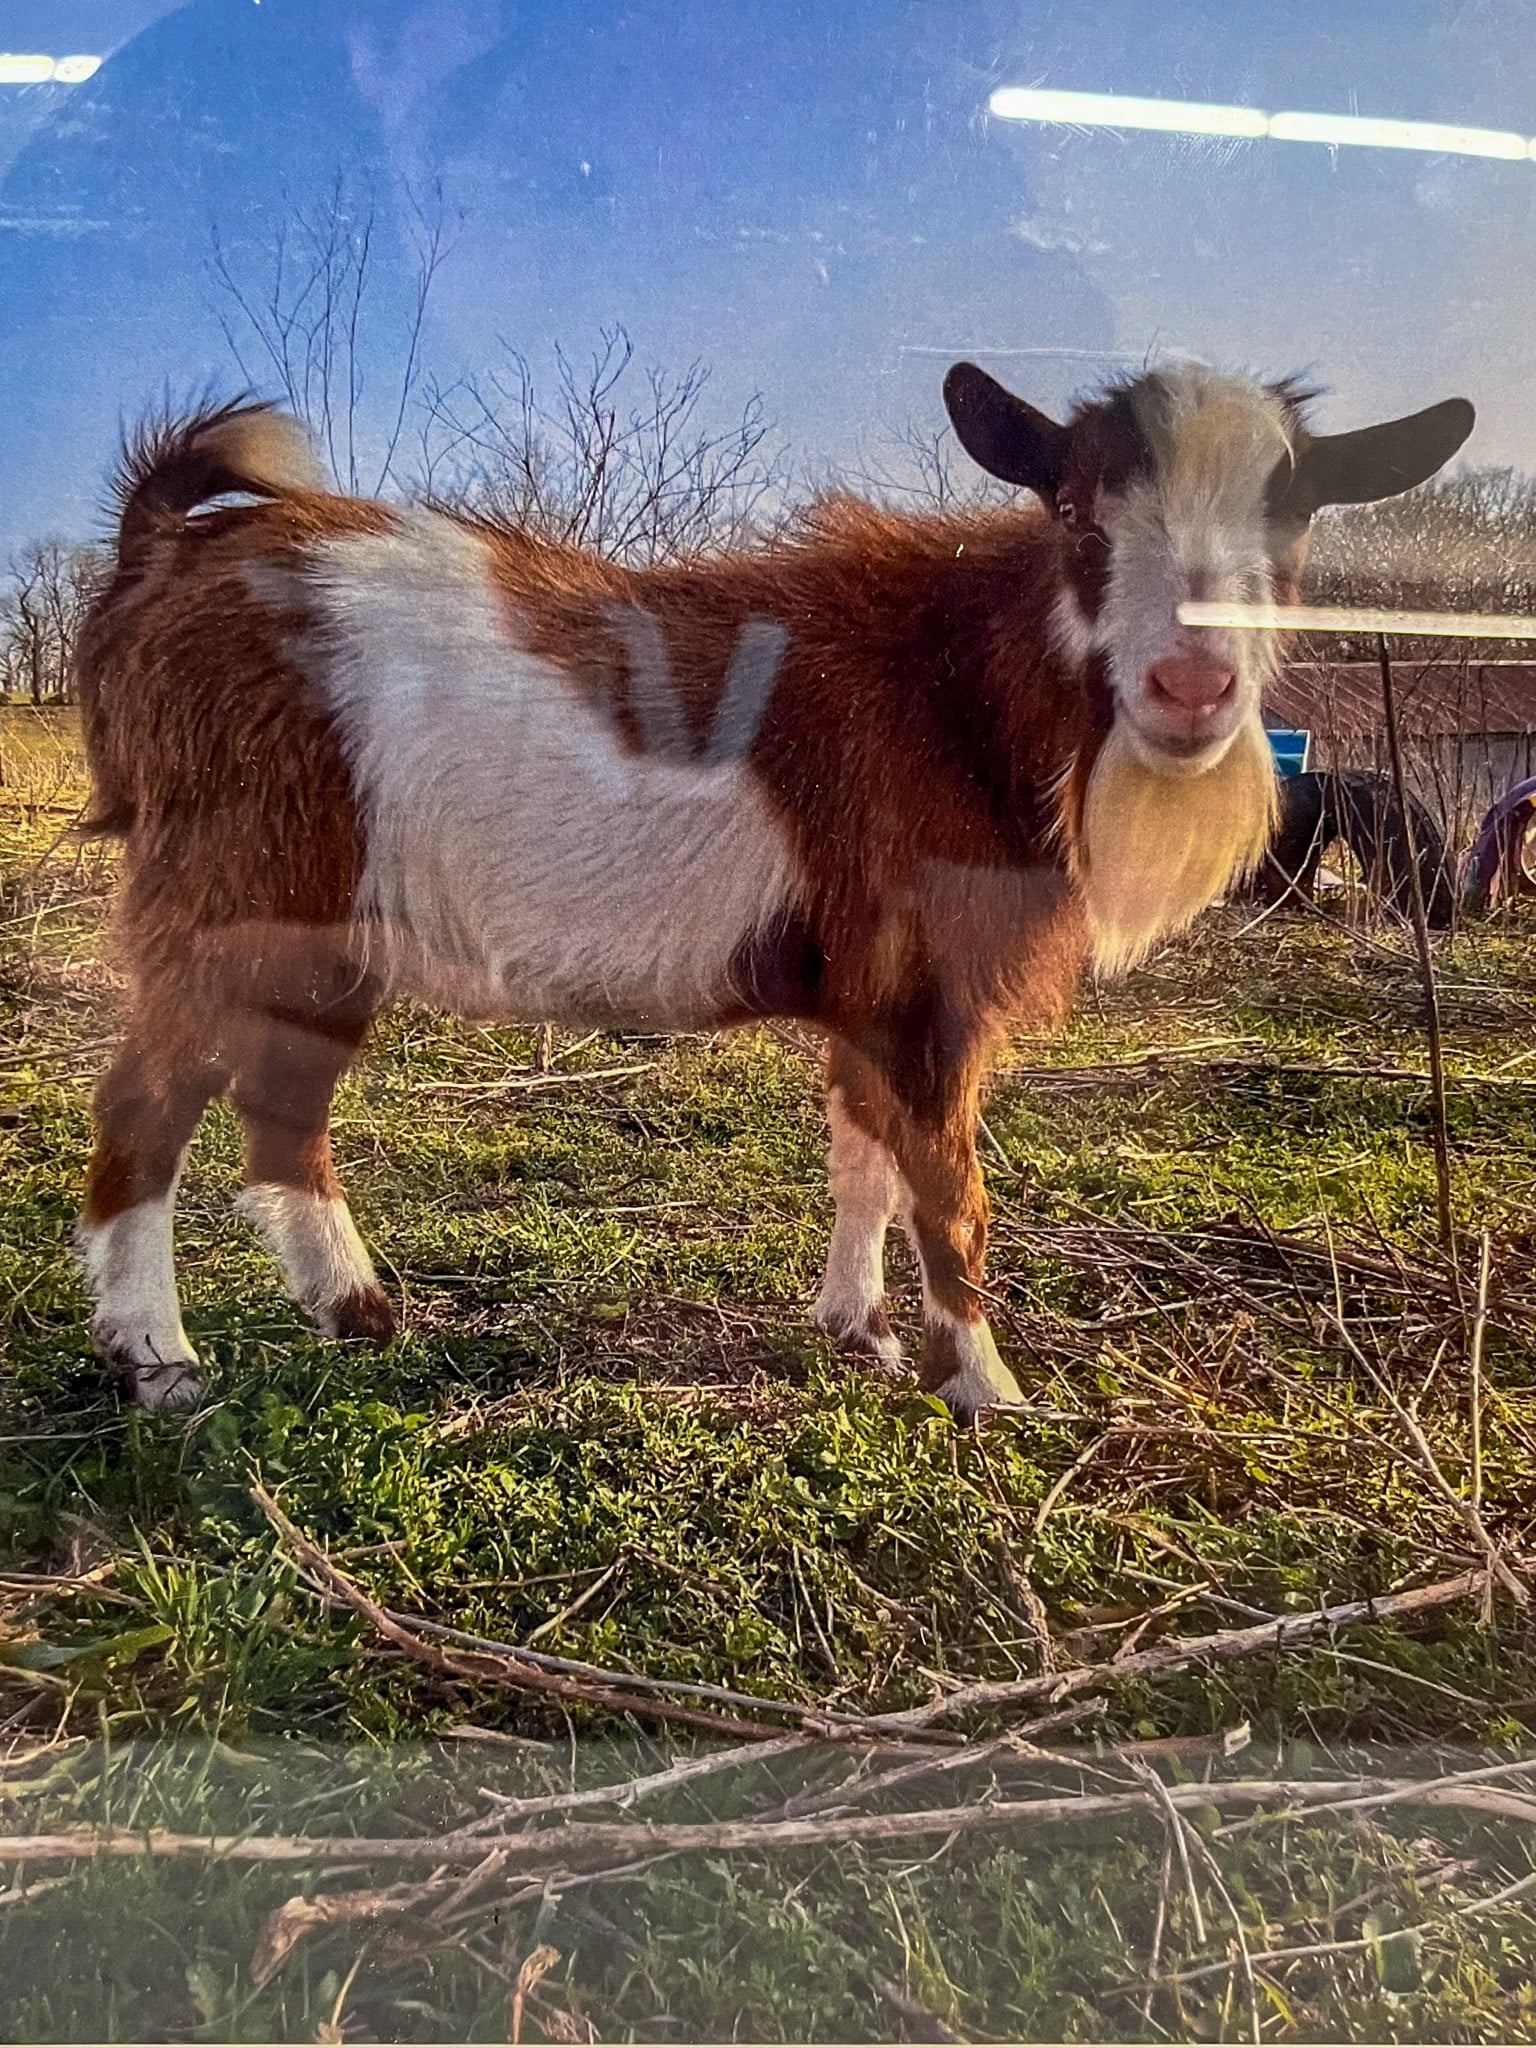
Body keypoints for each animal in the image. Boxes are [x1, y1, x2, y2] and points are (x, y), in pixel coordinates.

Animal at [72, 364, 1473, 1418]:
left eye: (1293, 518)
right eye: (1078, 511)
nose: (1193, 685)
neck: (961, 682)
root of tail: (166, 555)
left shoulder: (871, 989)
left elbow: (867, 1155)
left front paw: (859, 1329)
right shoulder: (924, 989)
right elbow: (948, 1187)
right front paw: (986, 1386)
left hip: (327, 928)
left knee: (279, 1107)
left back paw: (355, 1309)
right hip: (228, 885)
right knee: (150, 1102)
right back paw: (161, 1361)